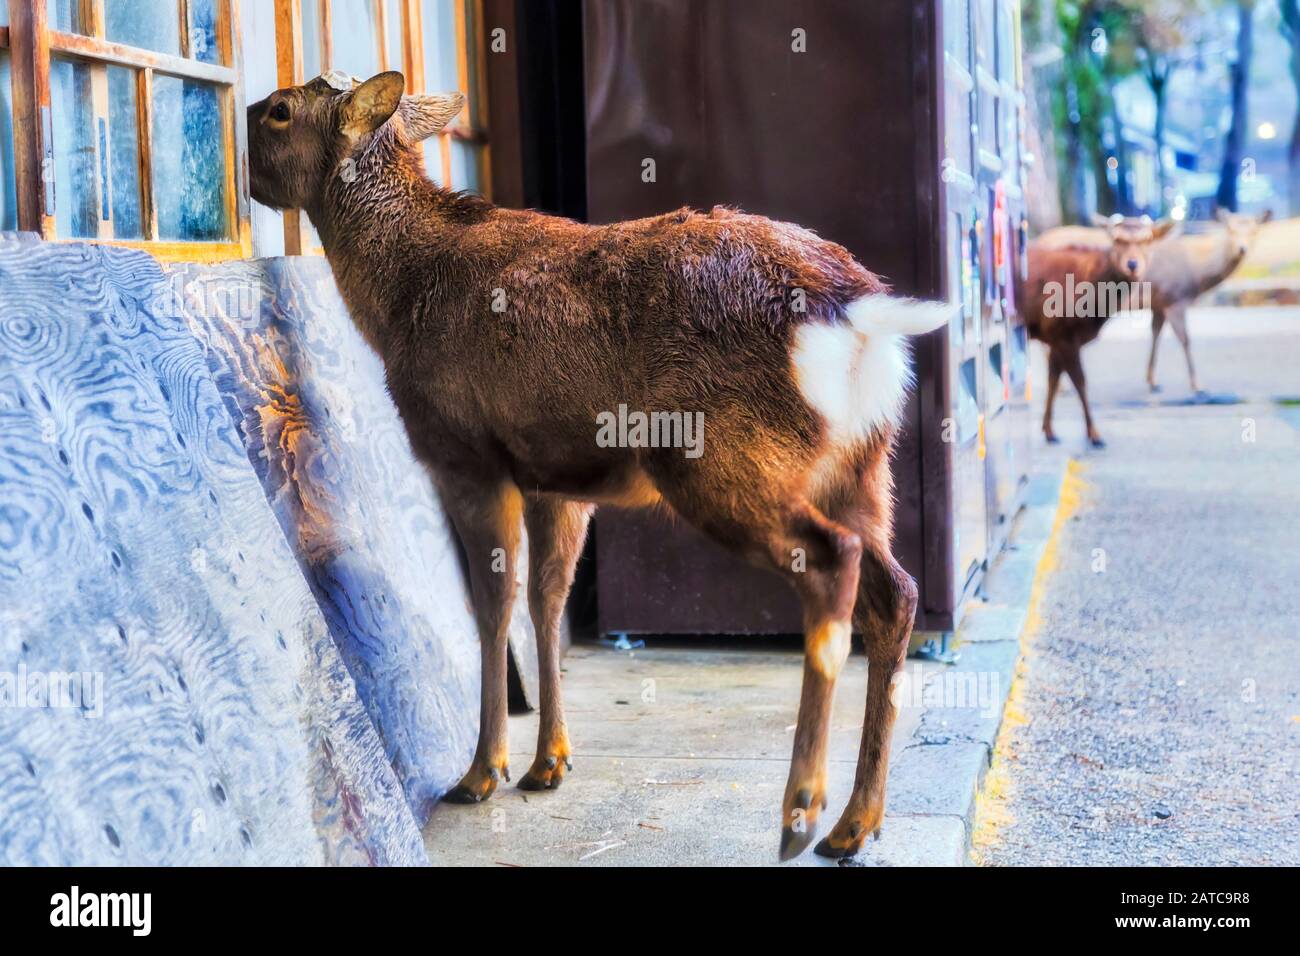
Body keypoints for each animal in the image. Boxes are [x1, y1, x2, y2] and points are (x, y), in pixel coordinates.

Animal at [245, 71, 952, 861]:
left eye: (278, 111)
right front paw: (550, 761)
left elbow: (492, 608)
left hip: (721, 460)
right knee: (895, 591)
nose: (246, 146)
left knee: (836, 563)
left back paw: (800, 812)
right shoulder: (557, 478)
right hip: (864, 467)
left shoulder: (465, 454)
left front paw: (482, 771)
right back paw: (855, 822)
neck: (394, 301)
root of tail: (862, 317)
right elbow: (545, 602)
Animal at [1019, 215, 1175, 447]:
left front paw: (1049, 431)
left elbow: (1053, 381)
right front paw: (1095, 435)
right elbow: (1081, 382)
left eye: (1147, 239)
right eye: (1117, 240)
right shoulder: (1062, 332)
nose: (1132, 264)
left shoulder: (1055, 336)